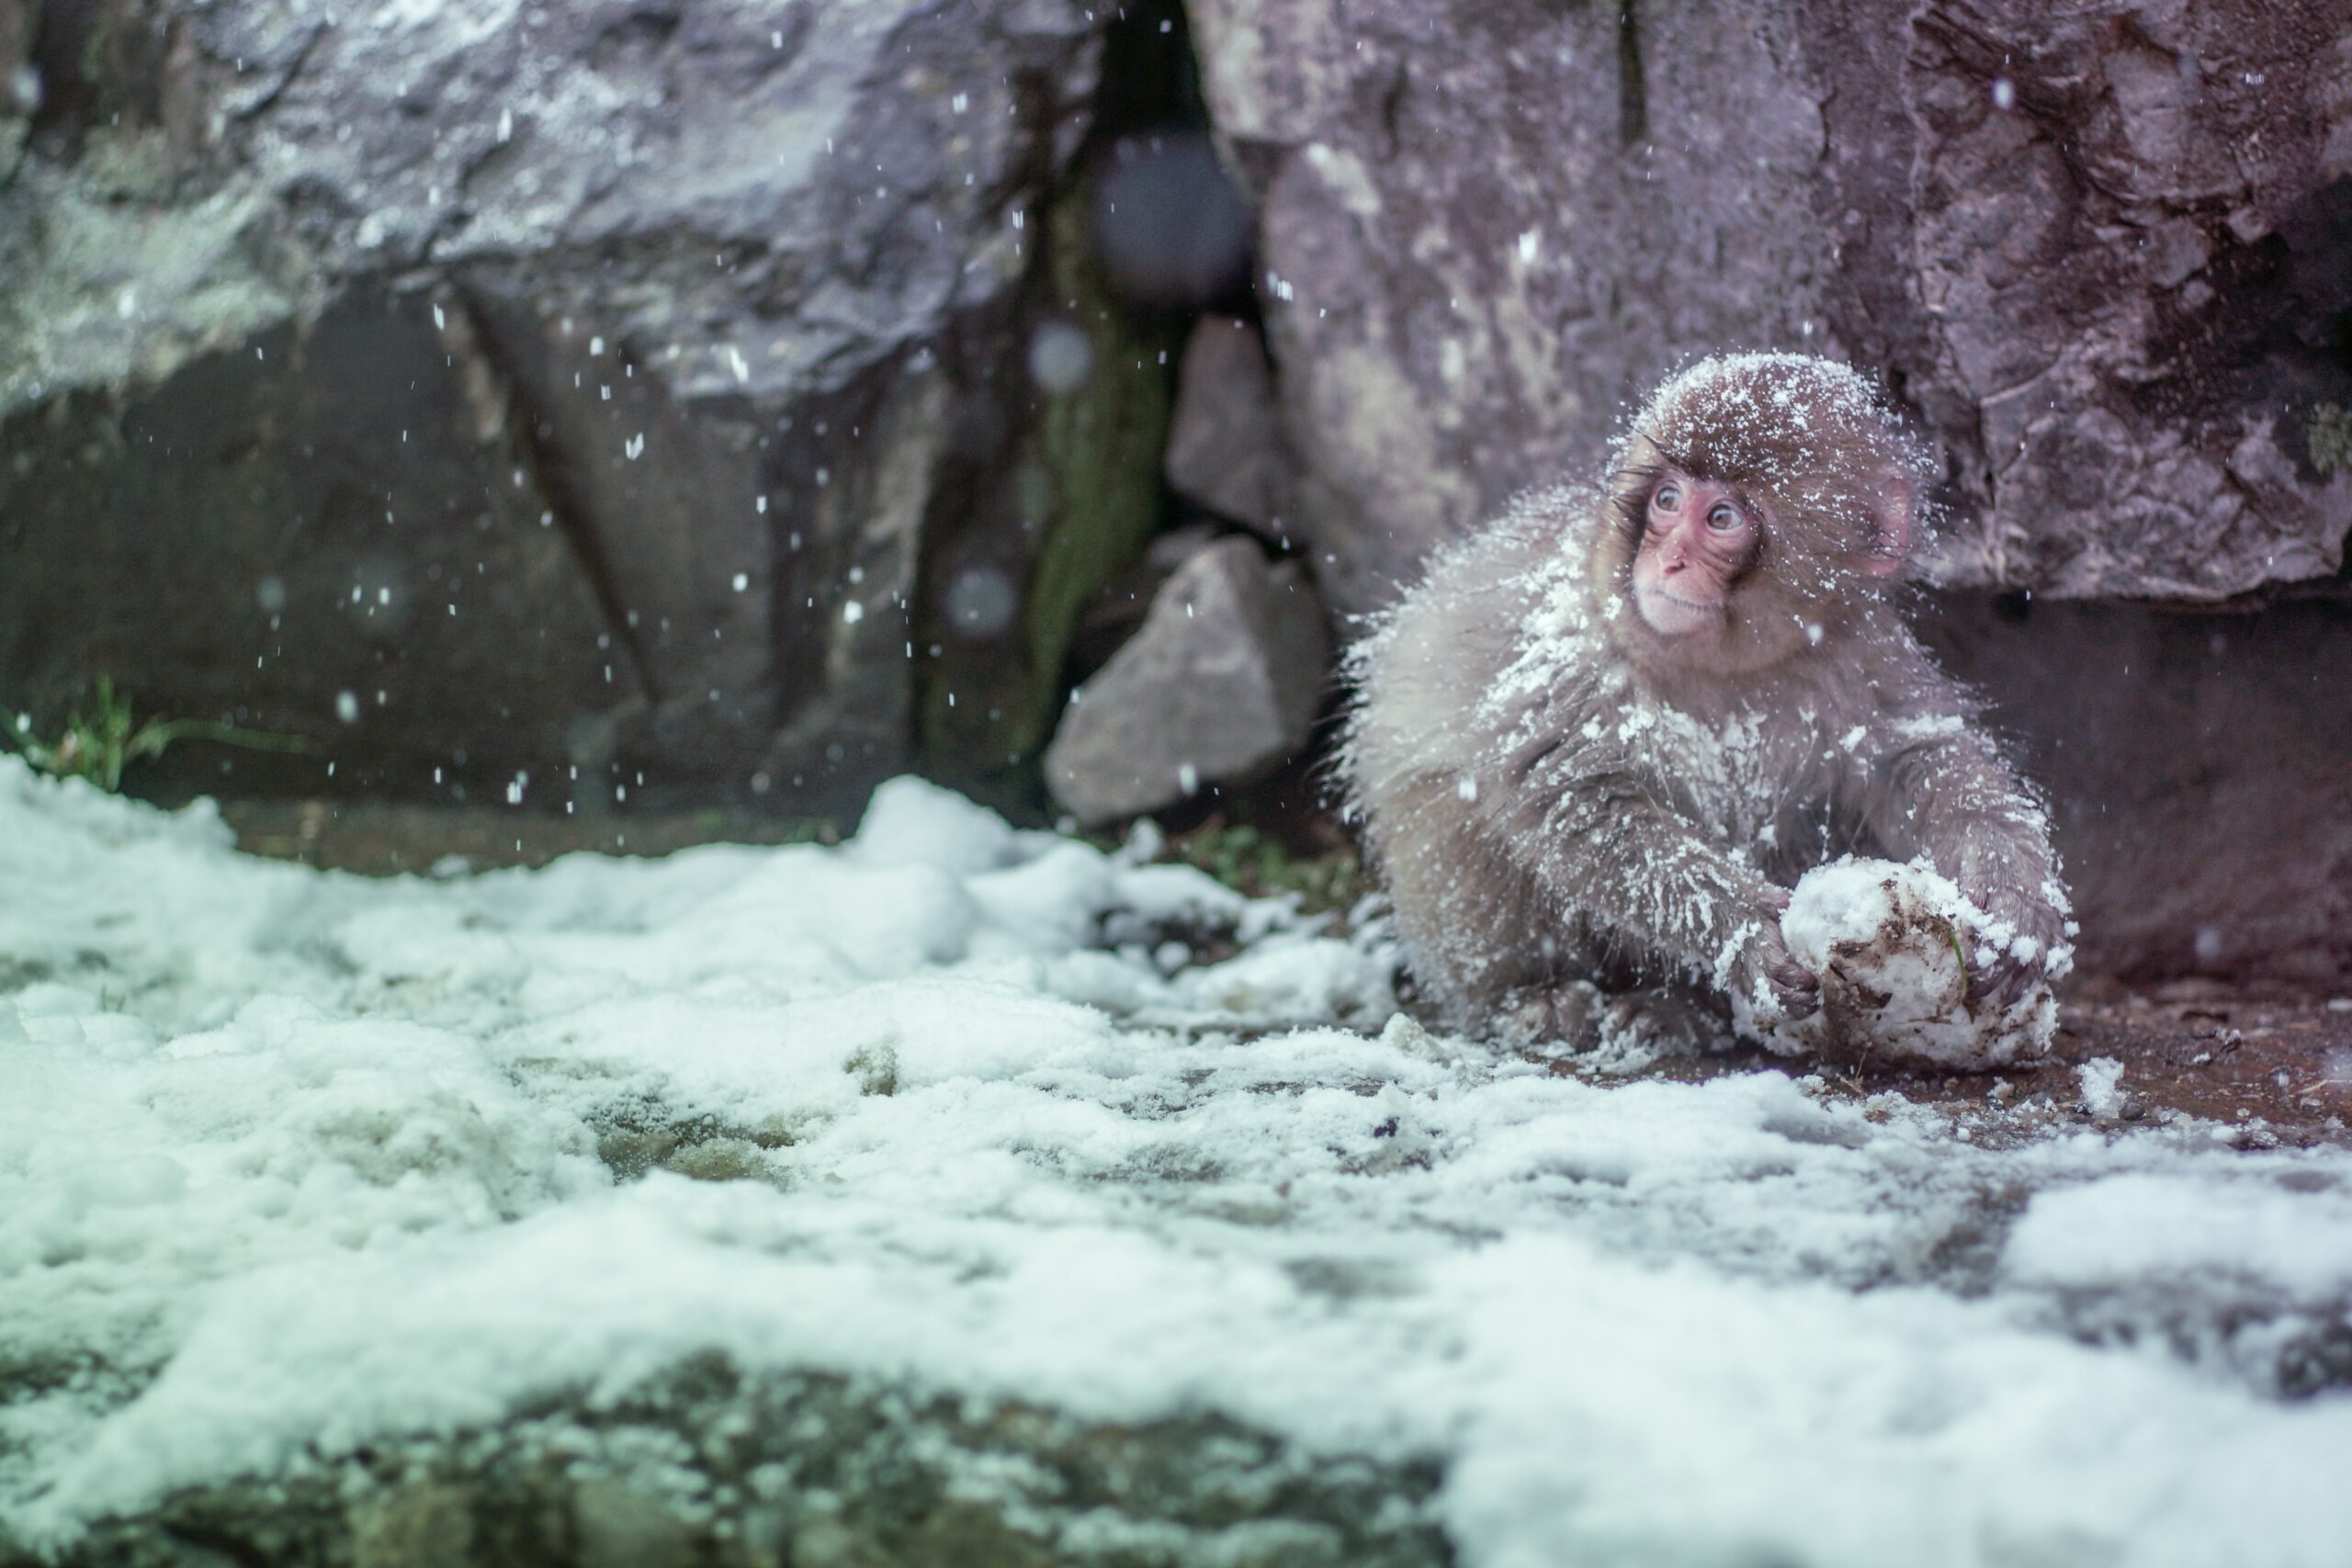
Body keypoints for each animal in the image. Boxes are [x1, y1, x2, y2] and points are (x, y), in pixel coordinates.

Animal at [1340, 353, 2069, 1053]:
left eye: (1722, 518)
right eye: (1666, 500)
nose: (1667, 561)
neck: (1722, 669)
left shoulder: (1861, 652)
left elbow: (1922, 757)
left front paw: (2013, 898)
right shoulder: (1578, 655)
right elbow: (1575, 798)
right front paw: (1743, 933)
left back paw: (1681, 1009)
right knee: (1451, 810)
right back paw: (1535, 995)